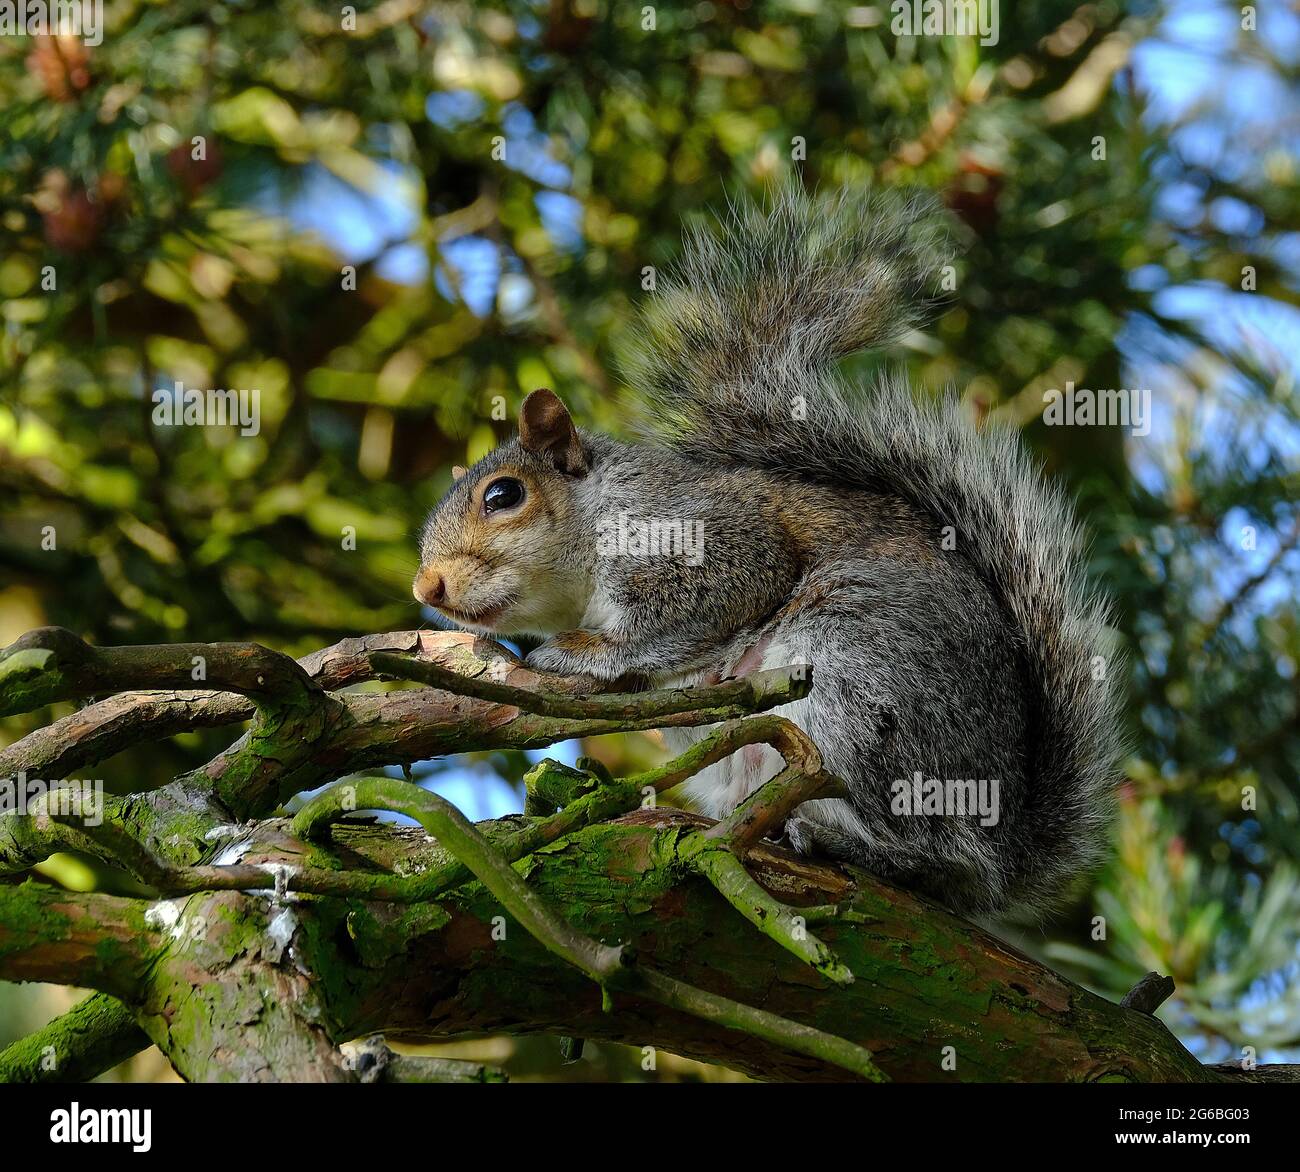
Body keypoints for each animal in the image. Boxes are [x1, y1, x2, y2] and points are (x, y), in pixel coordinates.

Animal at [414, 184, 1121, 918]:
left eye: (503, 495)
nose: (425, 587)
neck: (595, 524)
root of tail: (1004, 847)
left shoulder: (708, 538)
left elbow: (689, 614)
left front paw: (581, 652)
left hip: (861, 675)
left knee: (940, 858)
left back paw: (860, 846)